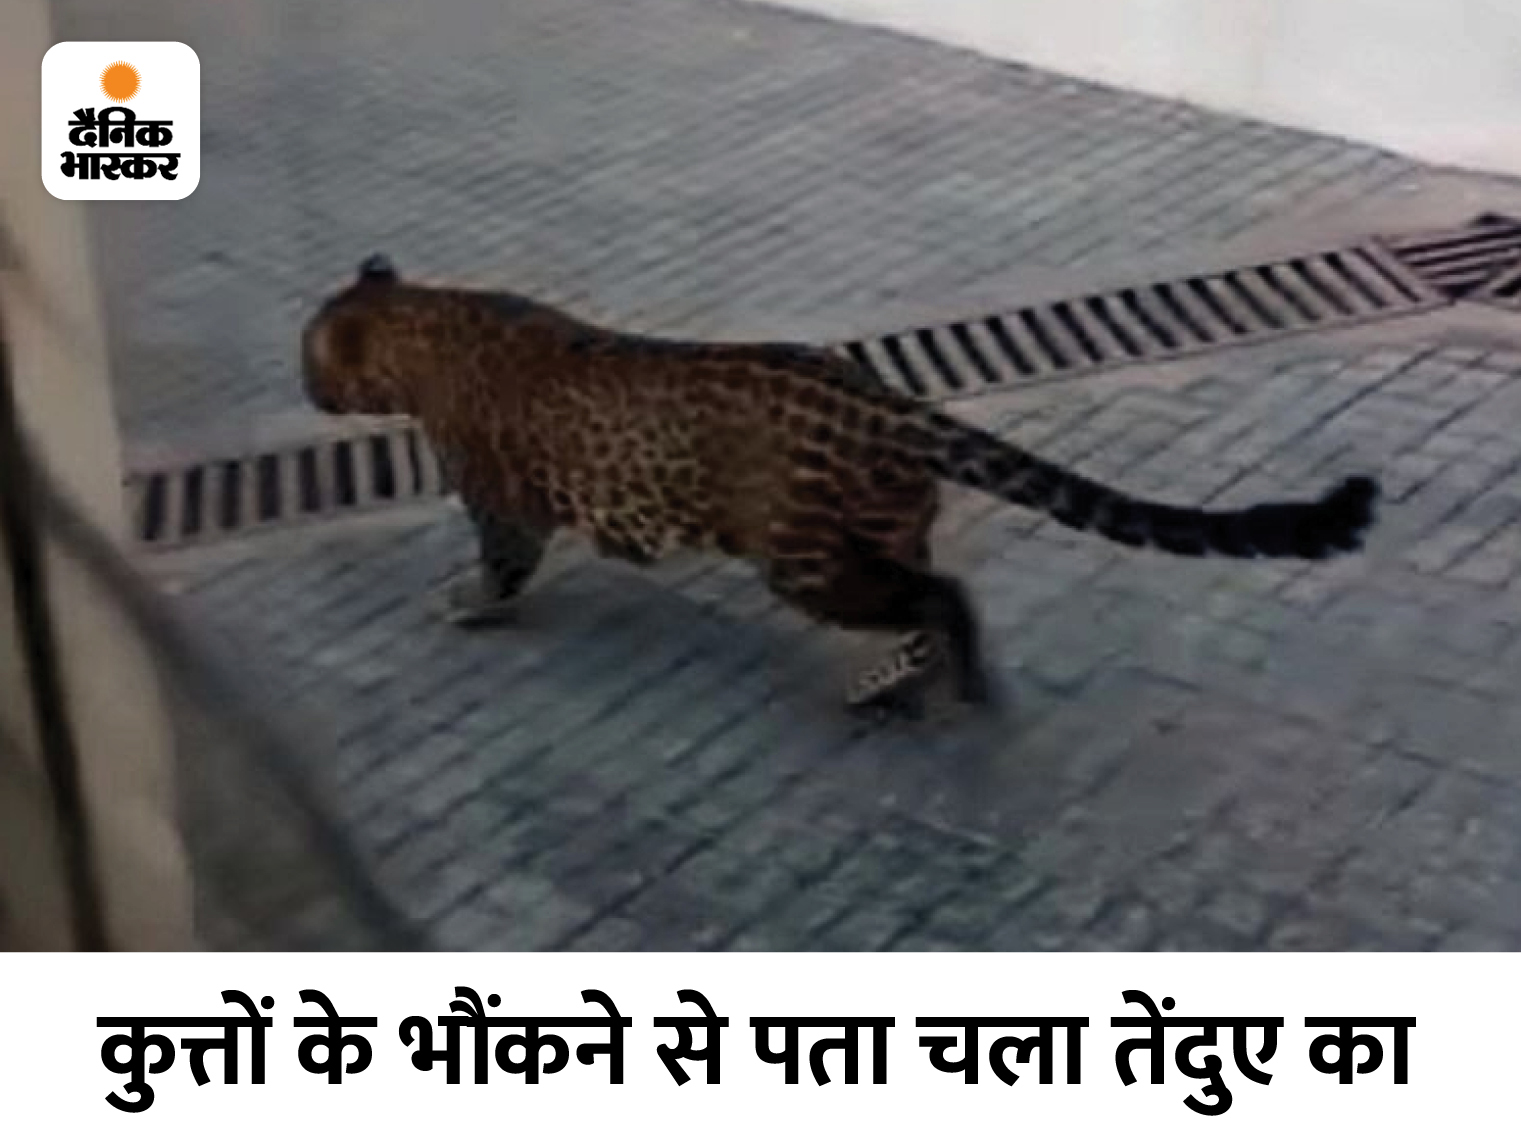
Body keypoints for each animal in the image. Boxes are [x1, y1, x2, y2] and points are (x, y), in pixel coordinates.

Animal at [301, 254, 1380, 718]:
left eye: (310, 351)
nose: (302, 384)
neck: (419, 322)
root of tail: (887, 401)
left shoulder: (500, 499)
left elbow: (503, 559)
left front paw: (469, 606)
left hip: (806, 558)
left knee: (939, 599)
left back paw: (944, 684)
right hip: (883, 529)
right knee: (931, 596)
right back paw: (912, 680)